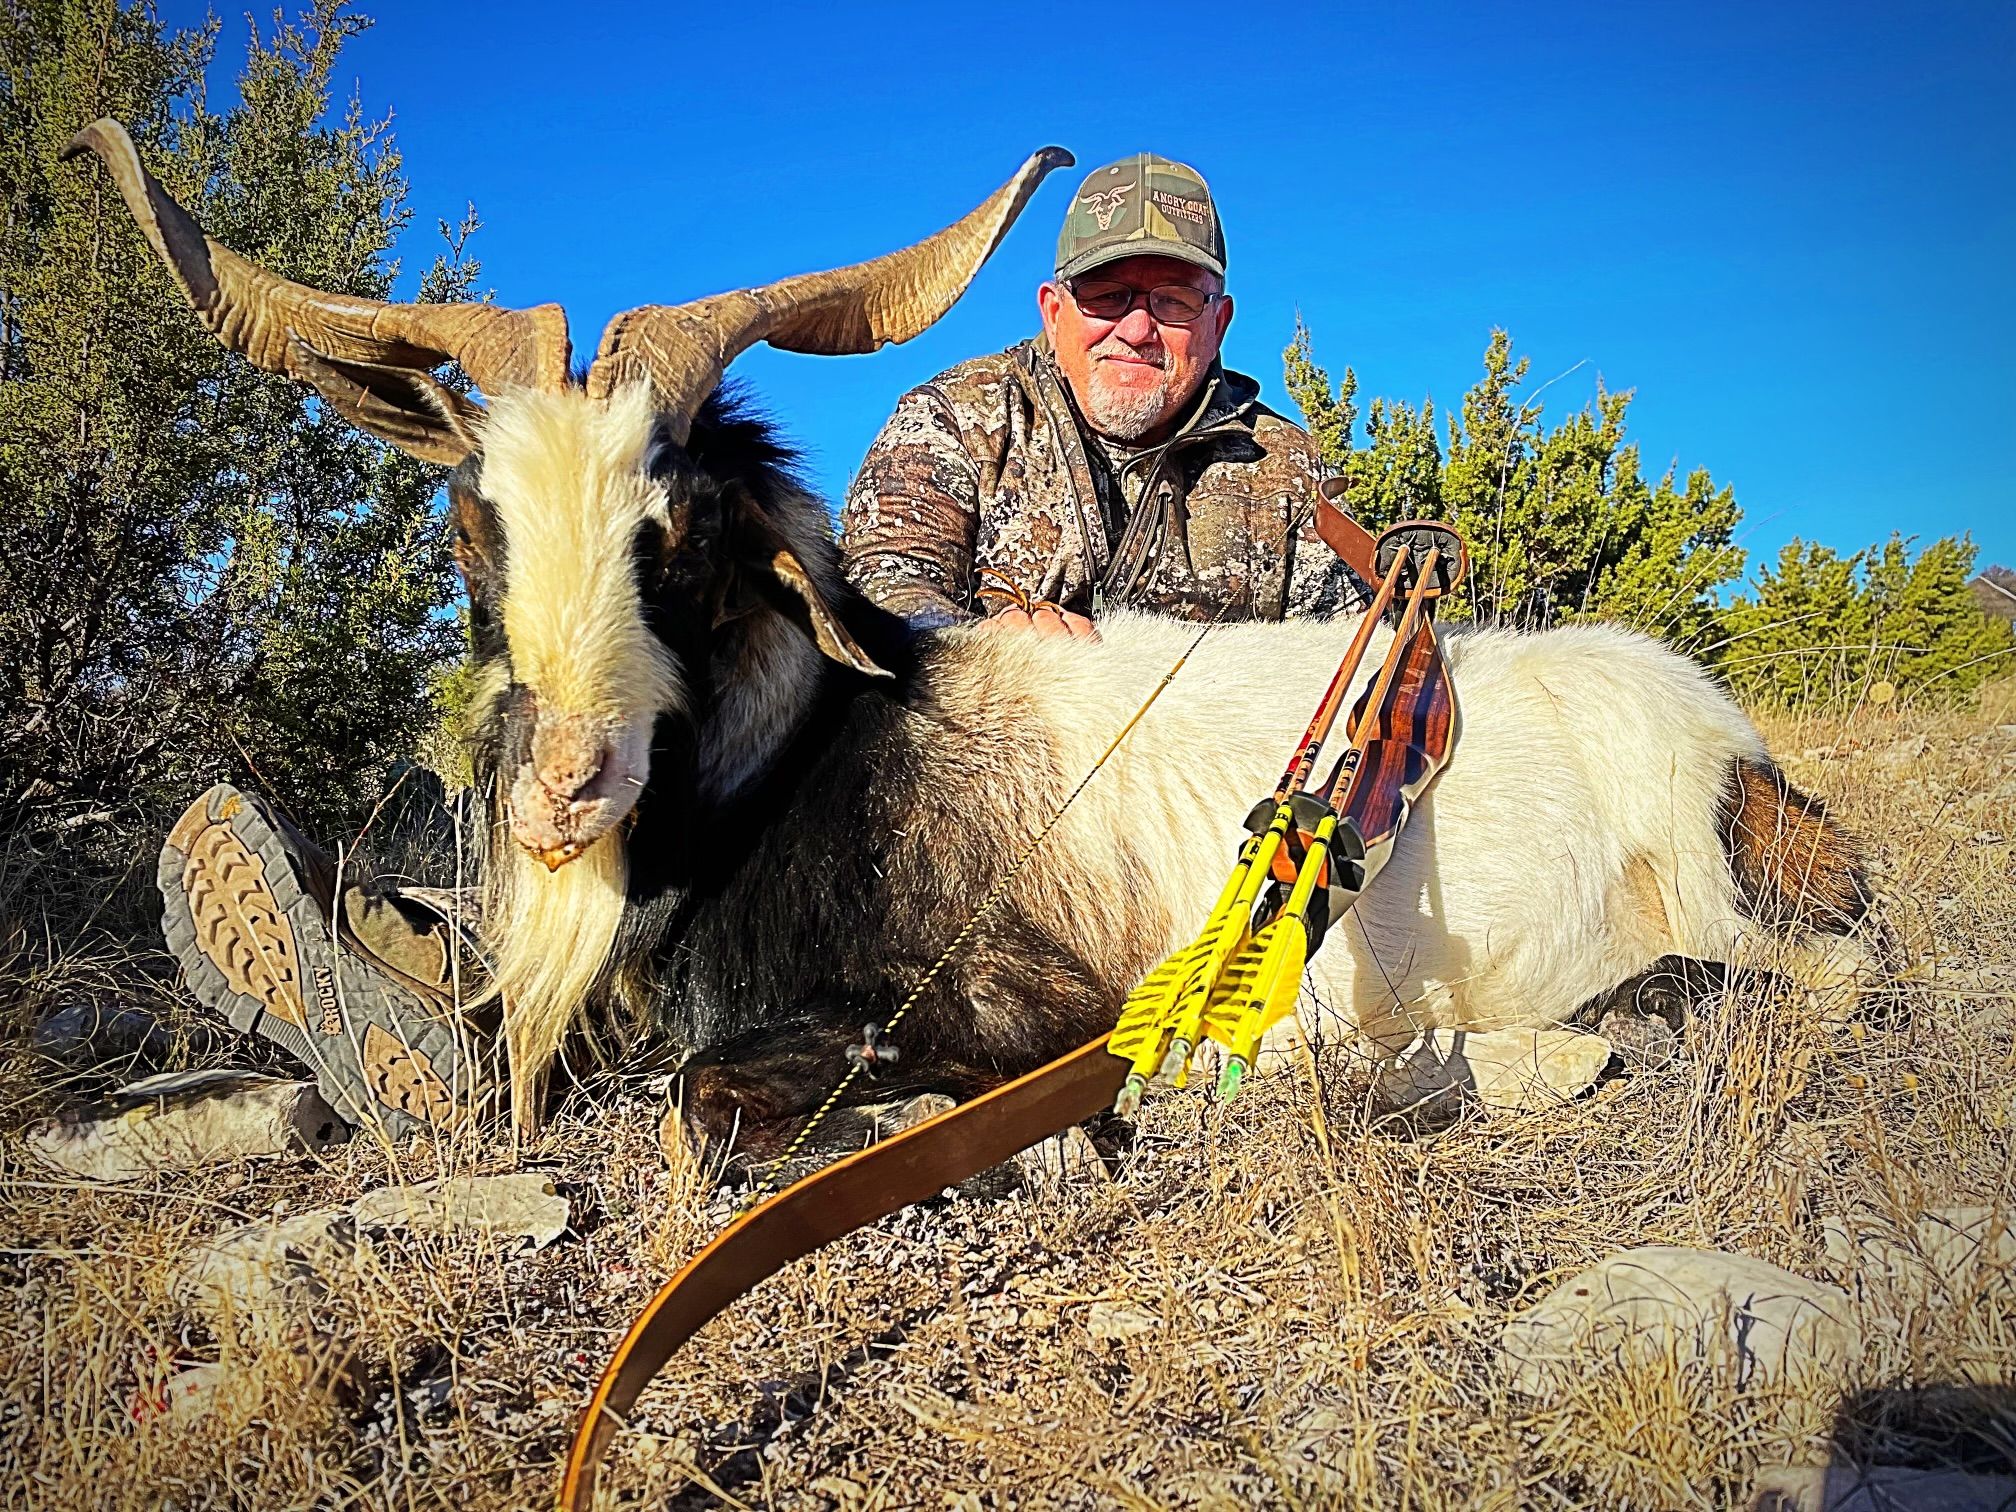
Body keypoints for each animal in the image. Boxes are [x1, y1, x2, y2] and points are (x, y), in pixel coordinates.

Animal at [72, 121, 1871, 1146]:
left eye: (683, 527)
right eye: (473, 523)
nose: (567, 786)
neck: (807, 763)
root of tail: (1737, 748)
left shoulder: (1029, 995)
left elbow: (700, 1103)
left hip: (1747, 914)